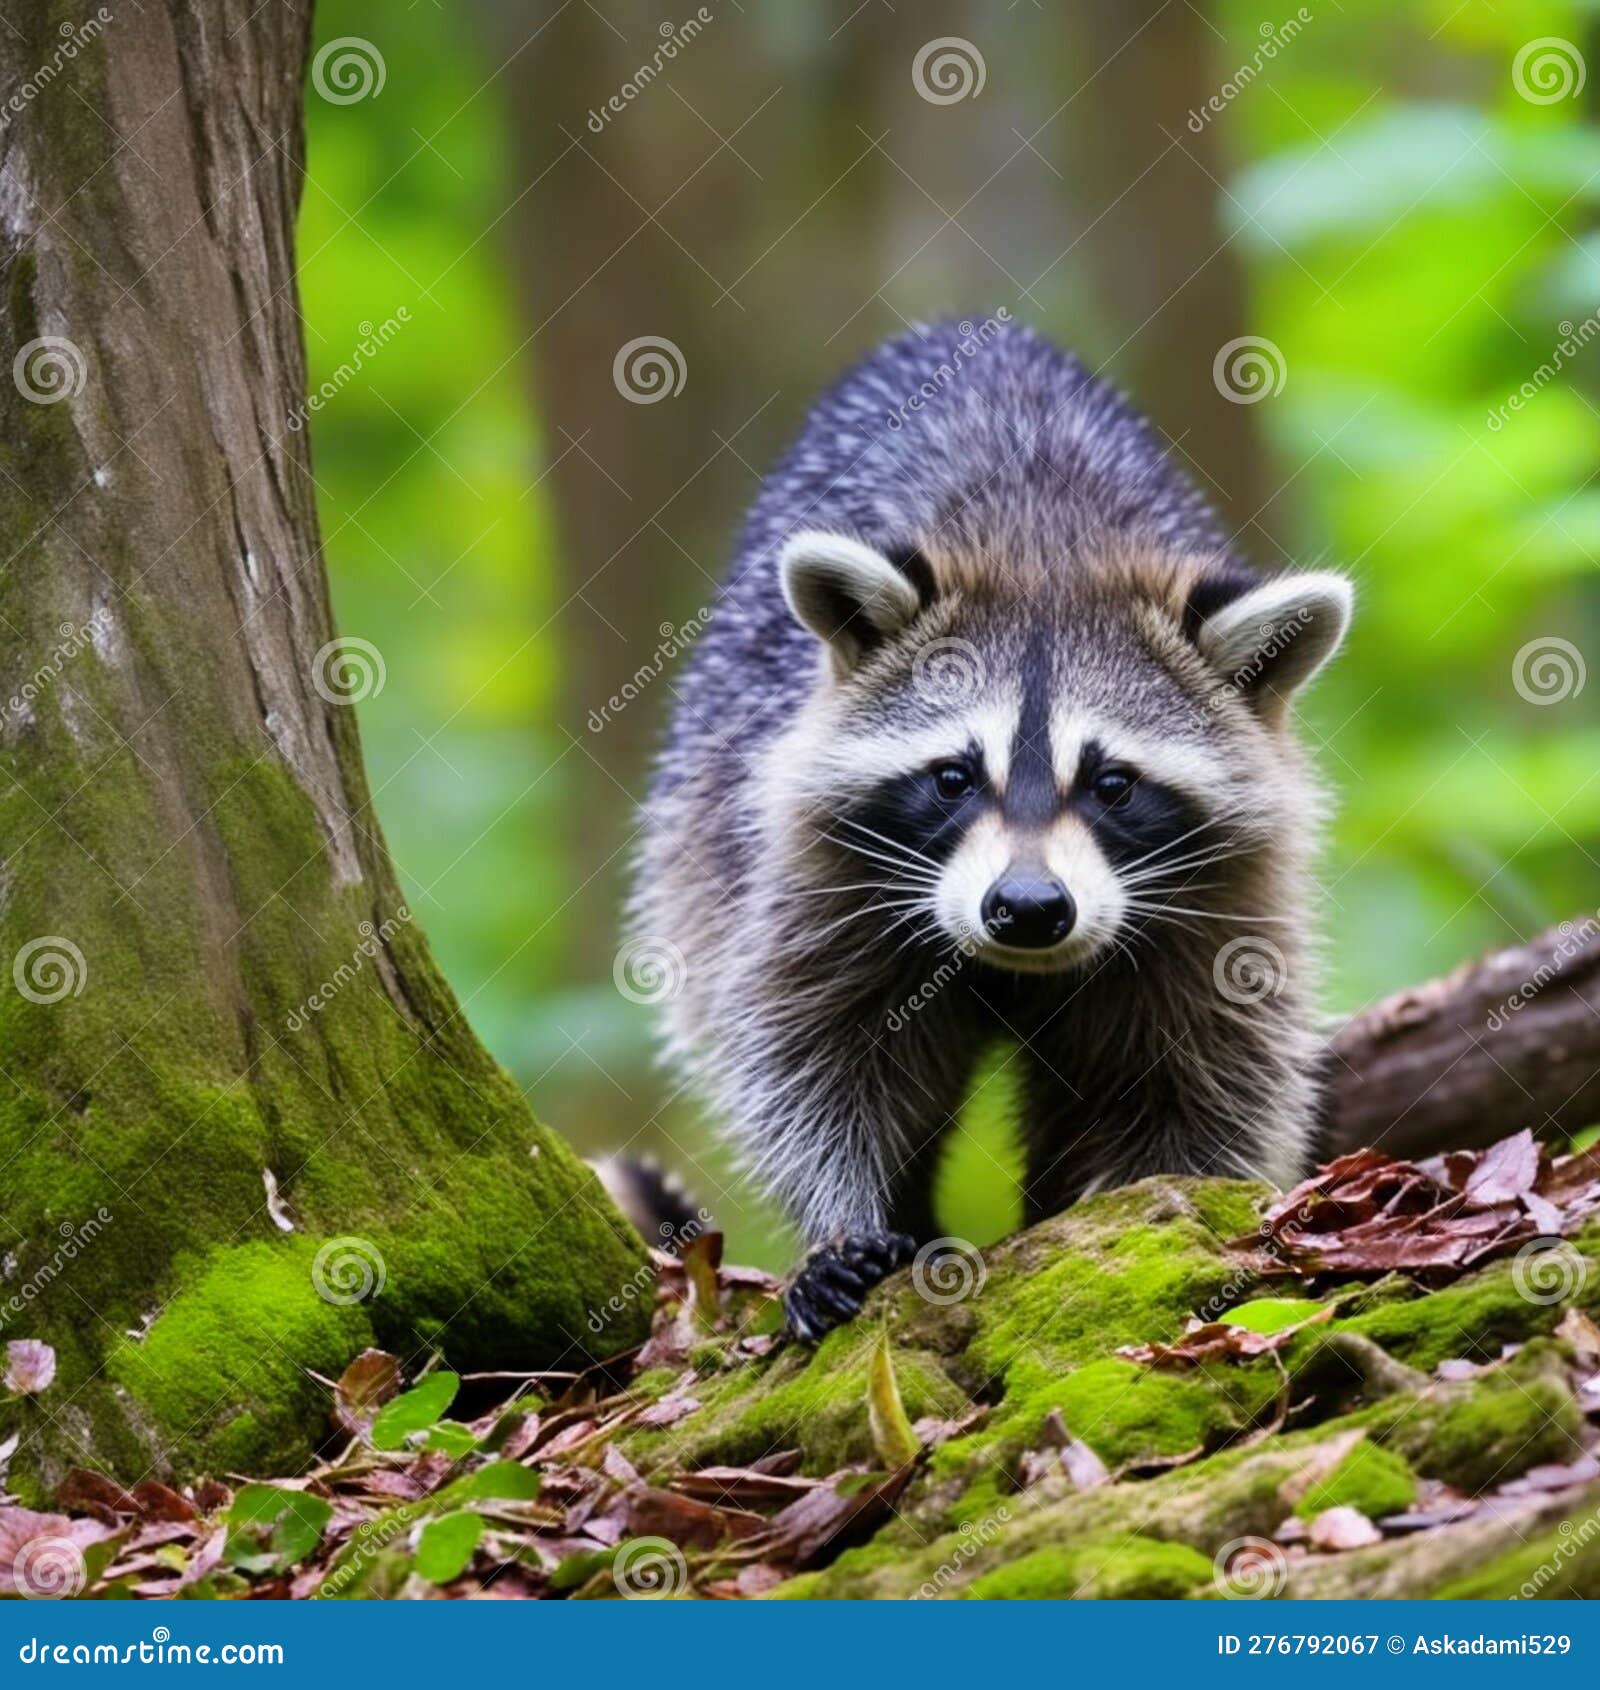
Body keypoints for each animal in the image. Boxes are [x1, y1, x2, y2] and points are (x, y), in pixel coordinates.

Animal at [634, 319, 1352, 1342]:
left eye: (1114, 785)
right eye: (953, 778)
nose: (1027, 907)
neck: (1044, 548)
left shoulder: (1225, 907)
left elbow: (1210, 1078)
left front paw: (1154, 1208)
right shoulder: (812, 875)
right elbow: (809, 1055)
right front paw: (844, 1222)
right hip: (700, 801)